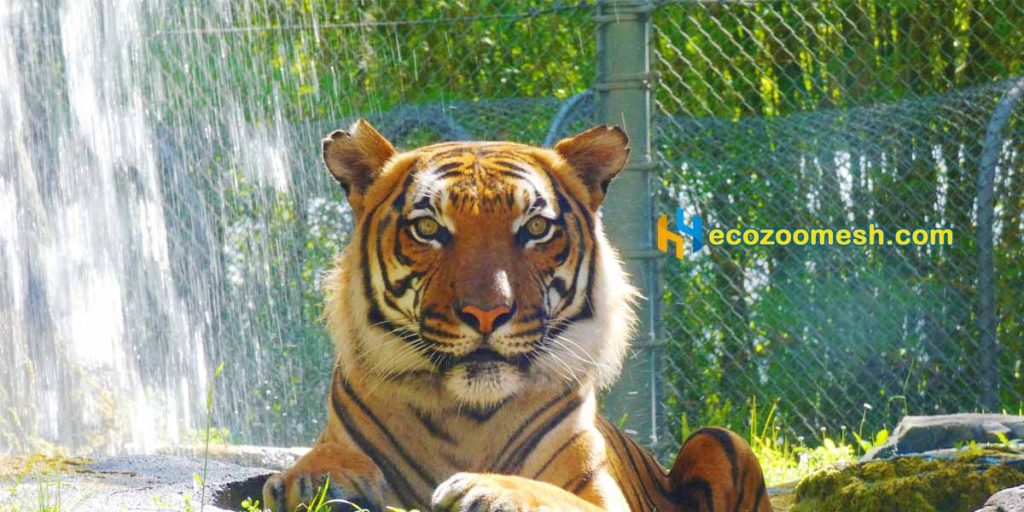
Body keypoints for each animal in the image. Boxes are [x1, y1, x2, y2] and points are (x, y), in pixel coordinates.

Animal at [262, 119, 772, 512]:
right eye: (428, 228)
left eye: (536, 227)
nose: (487, 313)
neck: (466, 418)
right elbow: (319, 462)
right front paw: (309, 481)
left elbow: (548, 493)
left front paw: (484, 487)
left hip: (719, 438)